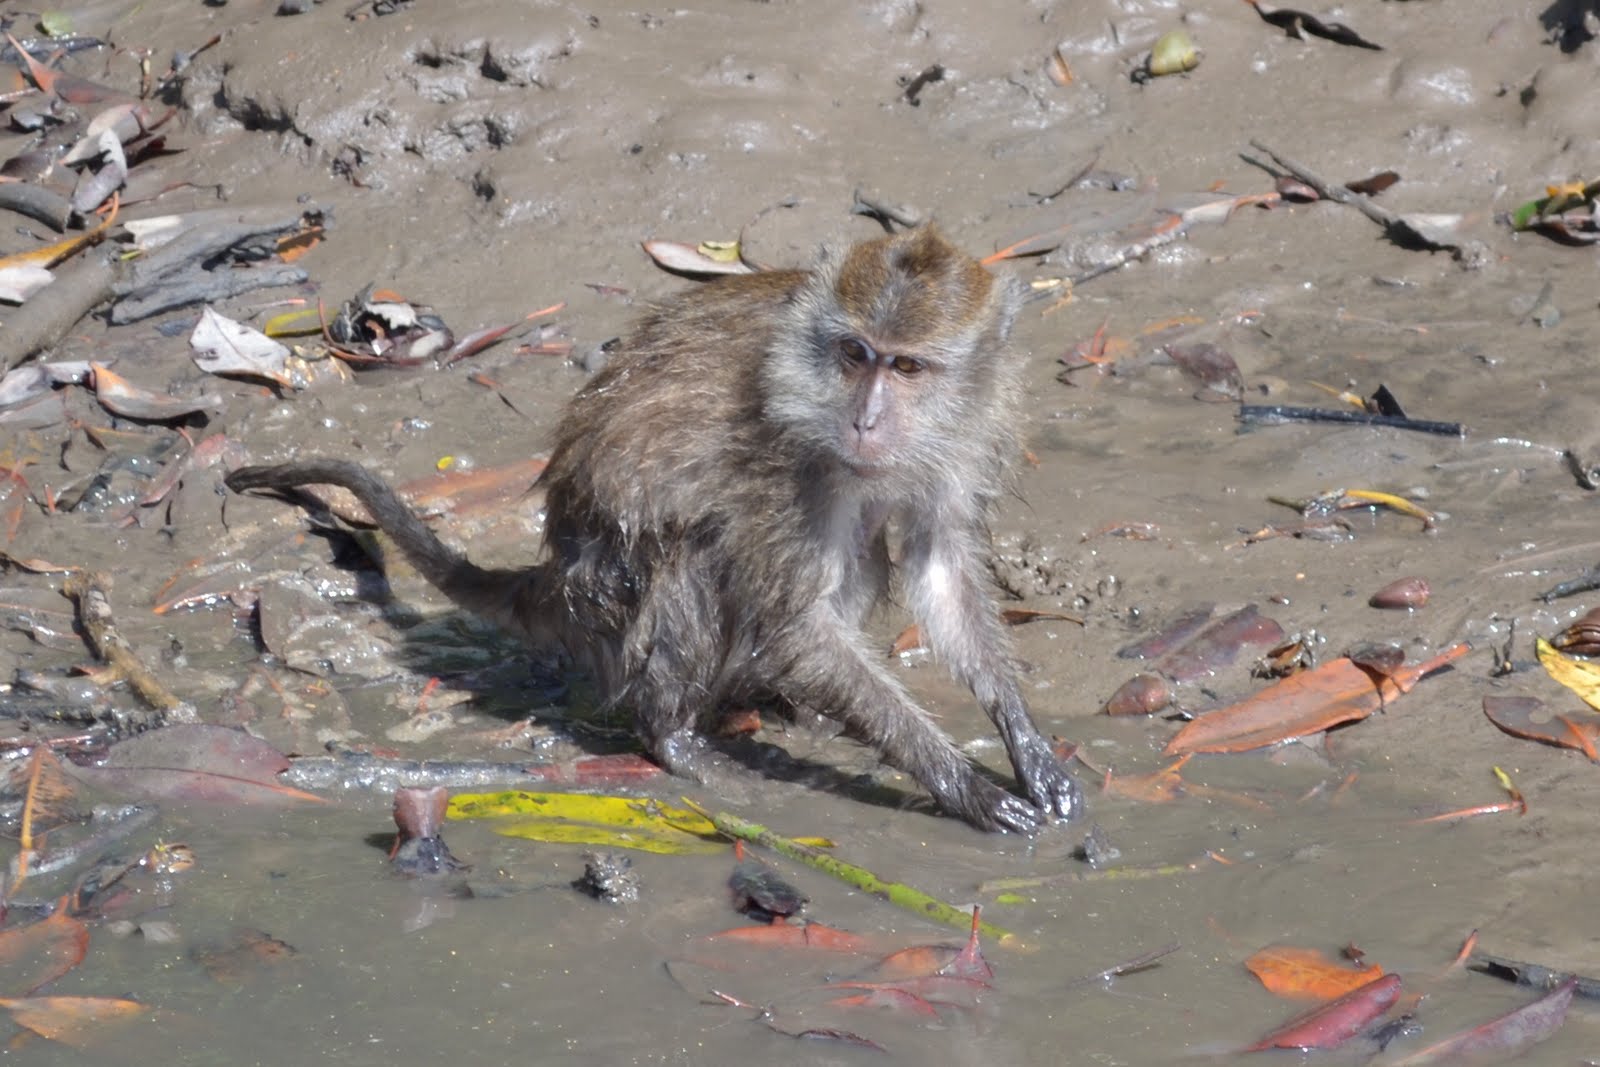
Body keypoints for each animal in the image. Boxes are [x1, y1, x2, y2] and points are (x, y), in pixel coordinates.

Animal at [225, 225, 1081, 833]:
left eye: (905, 366)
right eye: (854, 353)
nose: (865, 420)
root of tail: (554, 577)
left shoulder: (959, 441)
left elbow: (940, 569)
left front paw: (1026, 744)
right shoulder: (784, 463)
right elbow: (795, 625)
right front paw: (958, 781)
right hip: (605, 599)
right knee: (694, 553)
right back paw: (671, 734)